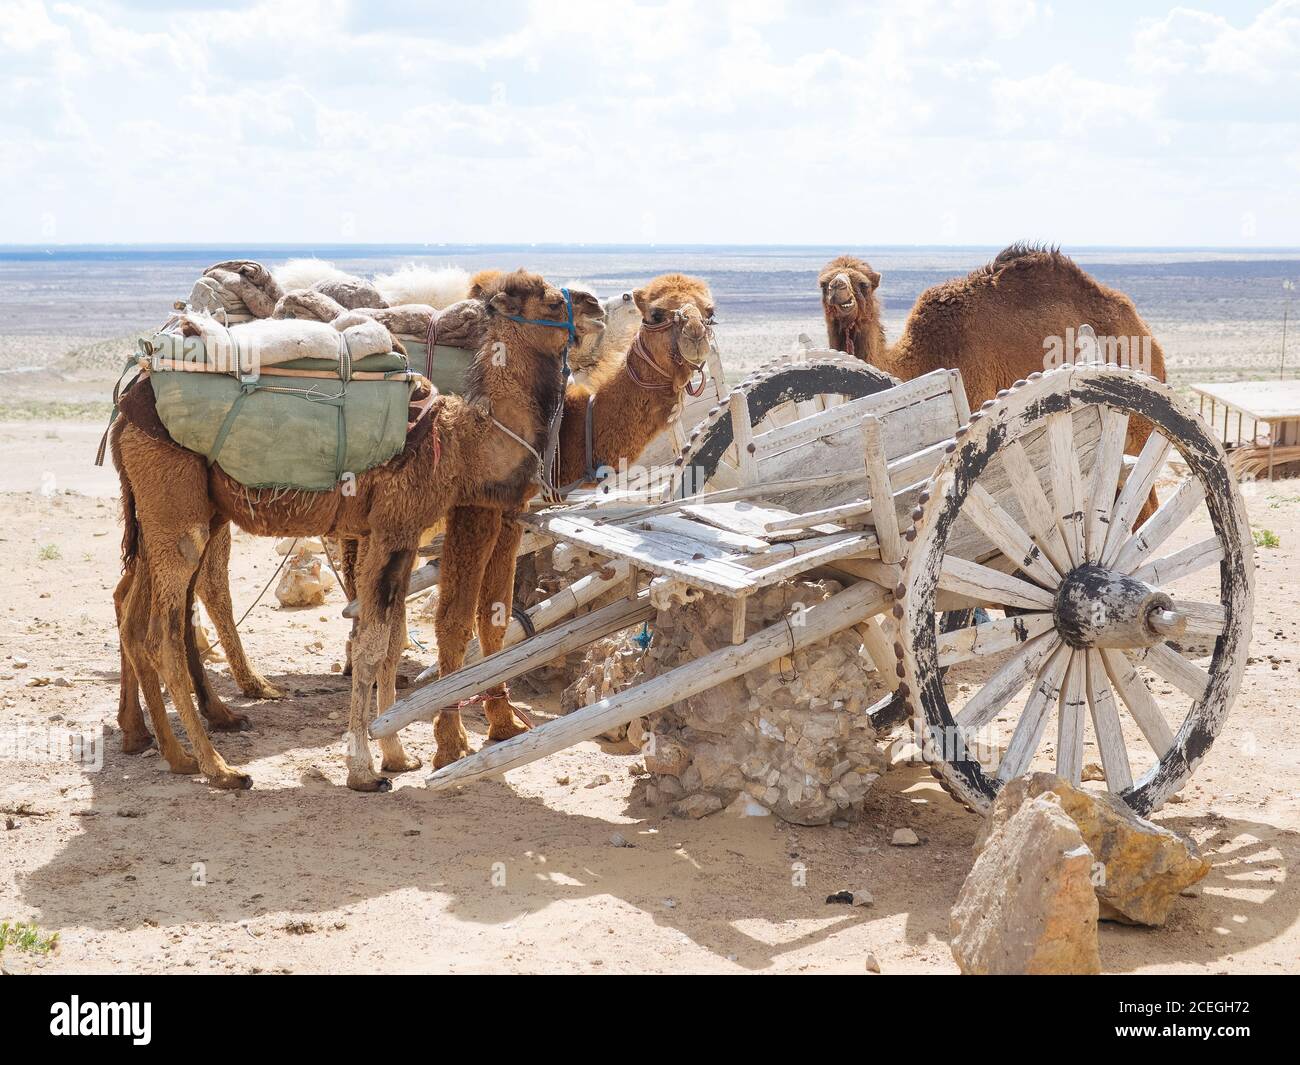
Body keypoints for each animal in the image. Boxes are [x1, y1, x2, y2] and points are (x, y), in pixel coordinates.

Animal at [111, 270, 574, 791]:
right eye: (552, 302)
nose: (593, 308)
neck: (459, 441)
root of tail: (126, 407)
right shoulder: (398, 526)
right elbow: (373, 646)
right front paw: (364, 769)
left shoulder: (391, 533)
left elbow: (389, 643)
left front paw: (397, 755)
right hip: (175, 507)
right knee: (164, 629)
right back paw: (219, 766)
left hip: (169, 512)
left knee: (135, 614)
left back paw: (171, 751)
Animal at [818, 245, 1167, 462]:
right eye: (823, 283)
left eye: (863, 284)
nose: (838, 289)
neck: (918, 359)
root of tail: (1149, 337)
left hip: (1135, 427)